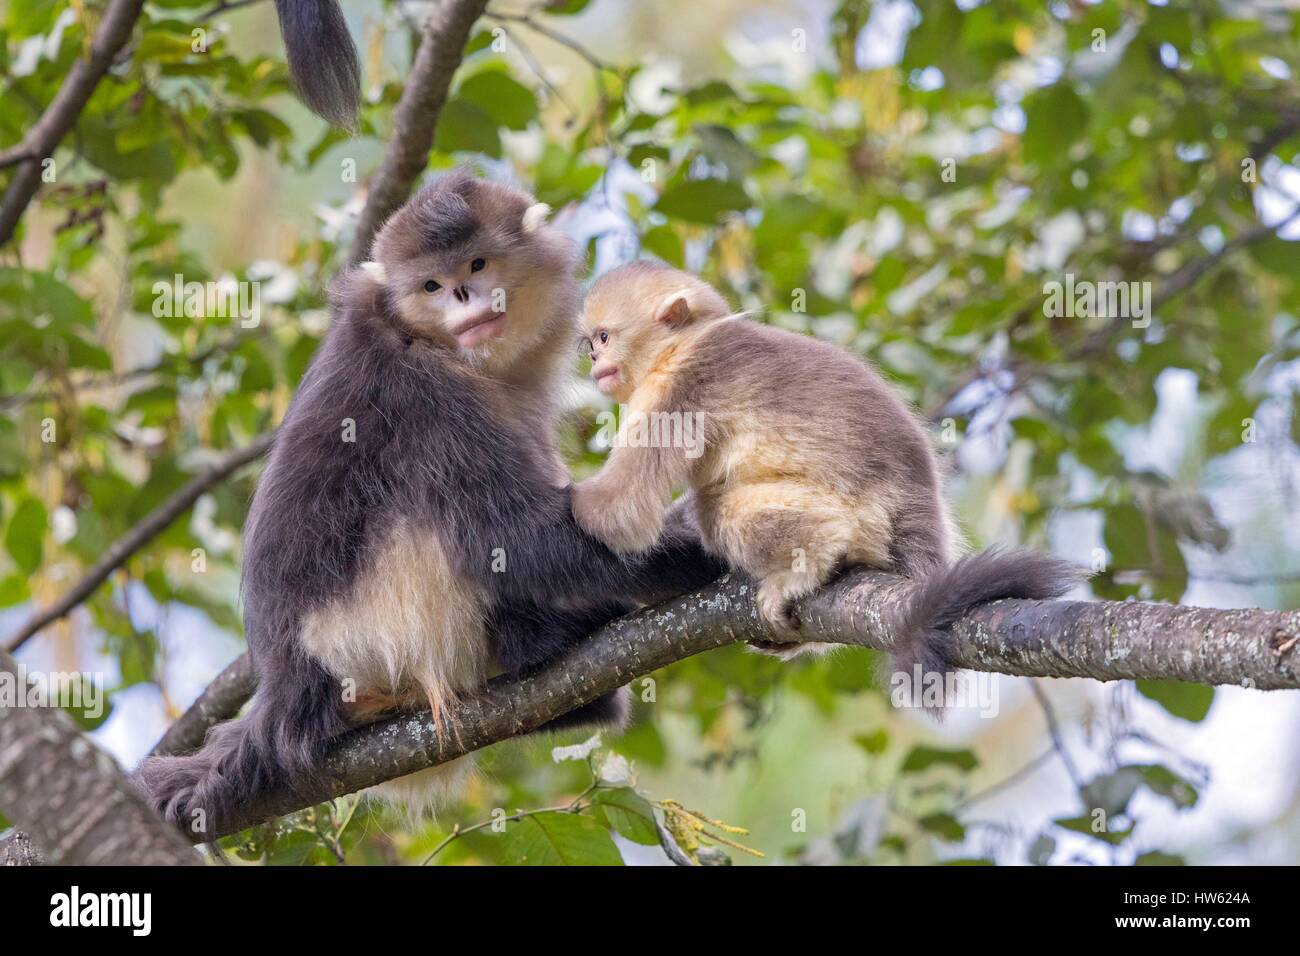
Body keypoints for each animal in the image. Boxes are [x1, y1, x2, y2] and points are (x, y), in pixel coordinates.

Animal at [136, 173, 724, 831]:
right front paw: (705, 556)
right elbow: (517, 541)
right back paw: (544, 636)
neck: (426, 338)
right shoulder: (421, 392)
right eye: (431, 286)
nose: (464, 294)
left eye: (476, 263)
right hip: (377, 634)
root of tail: (287, 696)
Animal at [570, 261, 1080, 699]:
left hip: (861, 514)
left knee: (717, 509)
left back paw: (814, 560)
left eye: (604, 337)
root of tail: (917, 505)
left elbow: (623, 513)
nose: (595, 360)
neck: (685, 344)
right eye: (591, 344)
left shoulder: (676, 391)